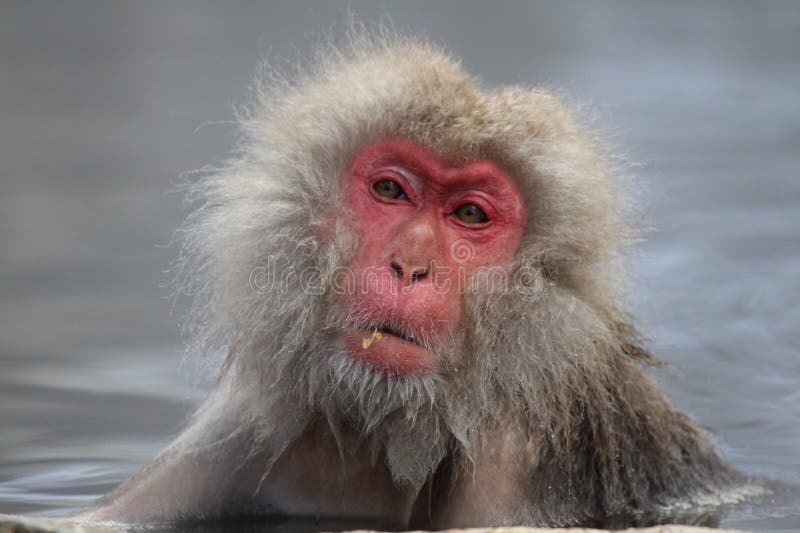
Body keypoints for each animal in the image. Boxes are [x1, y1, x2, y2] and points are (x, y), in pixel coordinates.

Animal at [69, 34, 753, 530]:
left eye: (470, 215)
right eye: (391, 191)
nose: (411, 264)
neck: (397, 427)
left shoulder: (513, 443)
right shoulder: (251, 423)